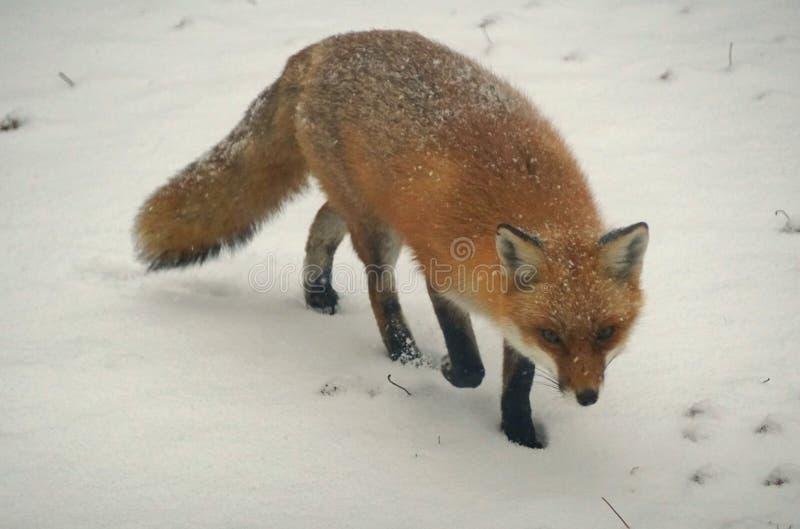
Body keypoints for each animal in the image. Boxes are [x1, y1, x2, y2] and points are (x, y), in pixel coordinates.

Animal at [134, 30, 649, 449]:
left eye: (606, 332)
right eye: (553, 336)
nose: (587, 397)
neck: (533, 204)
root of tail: (316, 49)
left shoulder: (508, 313)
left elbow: (518, 380)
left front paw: (520, 437)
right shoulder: (443, 271)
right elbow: (472, 366)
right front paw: (449, 371)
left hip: (366, 206)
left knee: (321, 221)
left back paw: (317, 293)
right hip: (379, 229)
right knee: (378, 289)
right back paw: (405, 354)